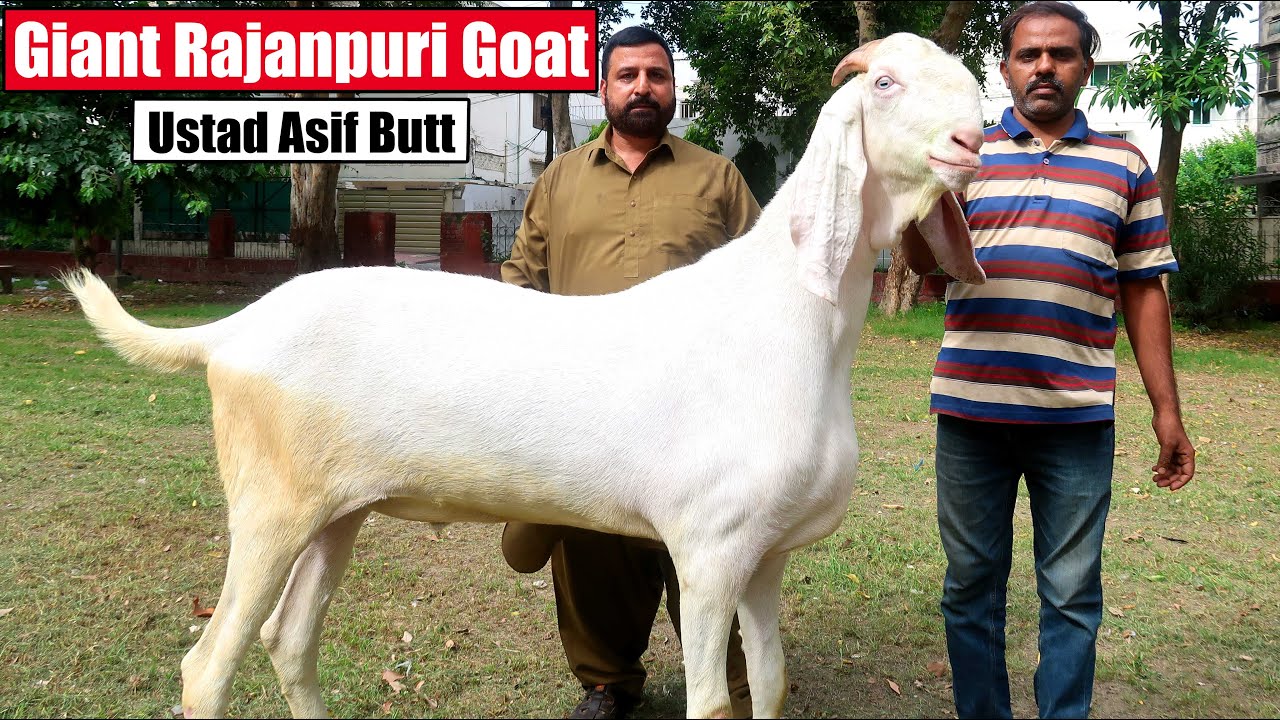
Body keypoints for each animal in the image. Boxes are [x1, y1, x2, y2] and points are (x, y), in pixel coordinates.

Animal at [64, 33, 985, 719]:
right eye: (888, 85)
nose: (972, 141)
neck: (792, 320)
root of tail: (234, 330)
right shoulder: (710, 549)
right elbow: (714, 703)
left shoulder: (764, 557)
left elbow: (770, 686)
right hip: (270, 504)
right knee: (208, 665)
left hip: (337, 511)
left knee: (287, 640)